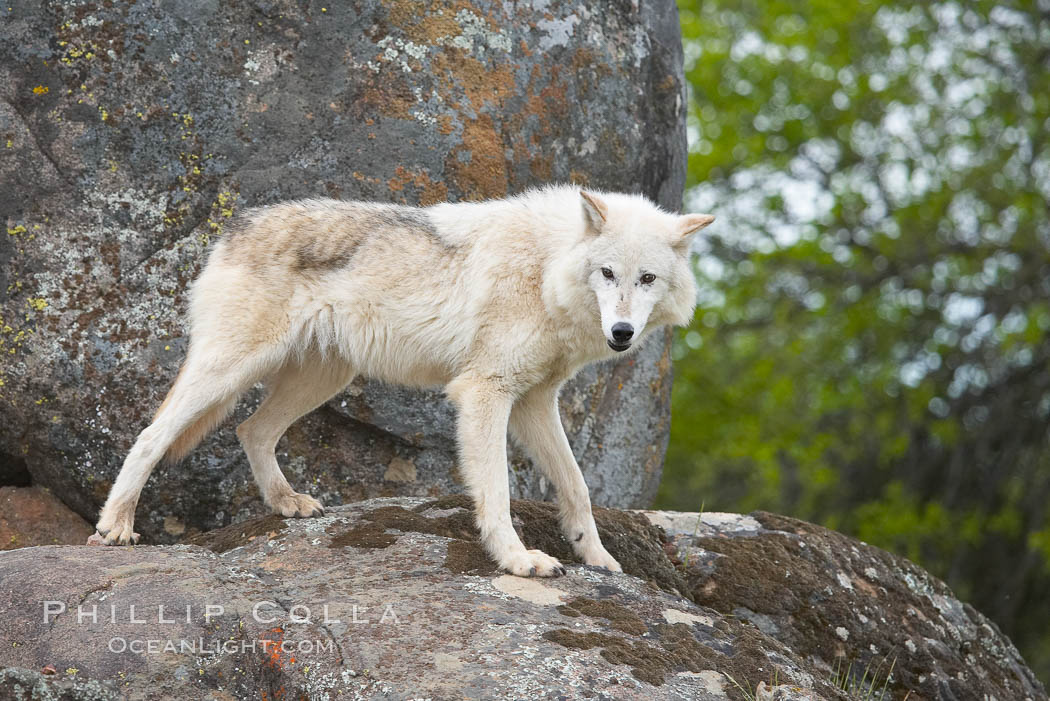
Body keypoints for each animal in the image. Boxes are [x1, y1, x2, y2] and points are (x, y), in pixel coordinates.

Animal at [95, 185, 714, 577]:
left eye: (647, 279)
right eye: (607, 273)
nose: (621, 333)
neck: (545, 268)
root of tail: (232, 229)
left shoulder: (536, 401)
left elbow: (578, 487)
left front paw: (598, 558)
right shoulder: (485, 393)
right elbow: (497, 492)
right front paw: (519, 561)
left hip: (320, 380)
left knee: (252, 431)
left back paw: (287, 502)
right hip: (230, 371)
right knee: (150, 435)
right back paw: (115, 527)